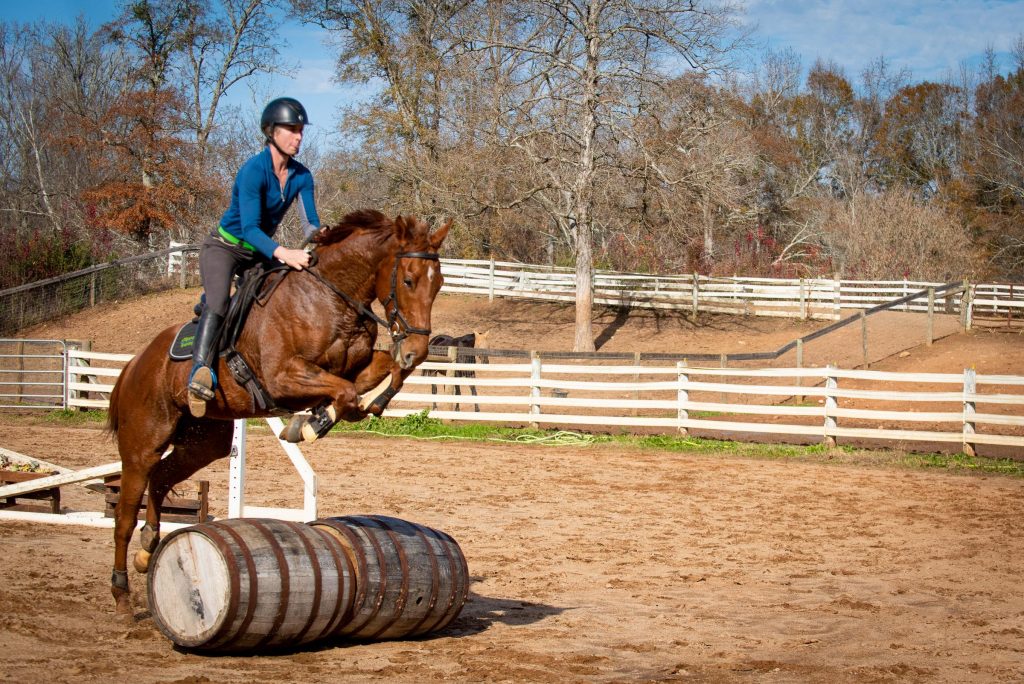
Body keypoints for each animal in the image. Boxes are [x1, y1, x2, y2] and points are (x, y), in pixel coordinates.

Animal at [105, 209, 450, 613]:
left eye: (439, 284)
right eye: (408, 280)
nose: (417, 350)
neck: (332, 297)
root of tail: (136, 362)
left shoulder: (353, 367)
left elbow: (380, 373)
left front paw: (342, 412)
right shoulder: (281, 377)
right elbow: (346, 393)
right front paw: (312, 424)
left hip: (205, 442)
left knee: (160, 479)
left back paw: (148, 548)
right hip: (143, 443)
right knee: (126, 512)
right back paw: (121, 592)